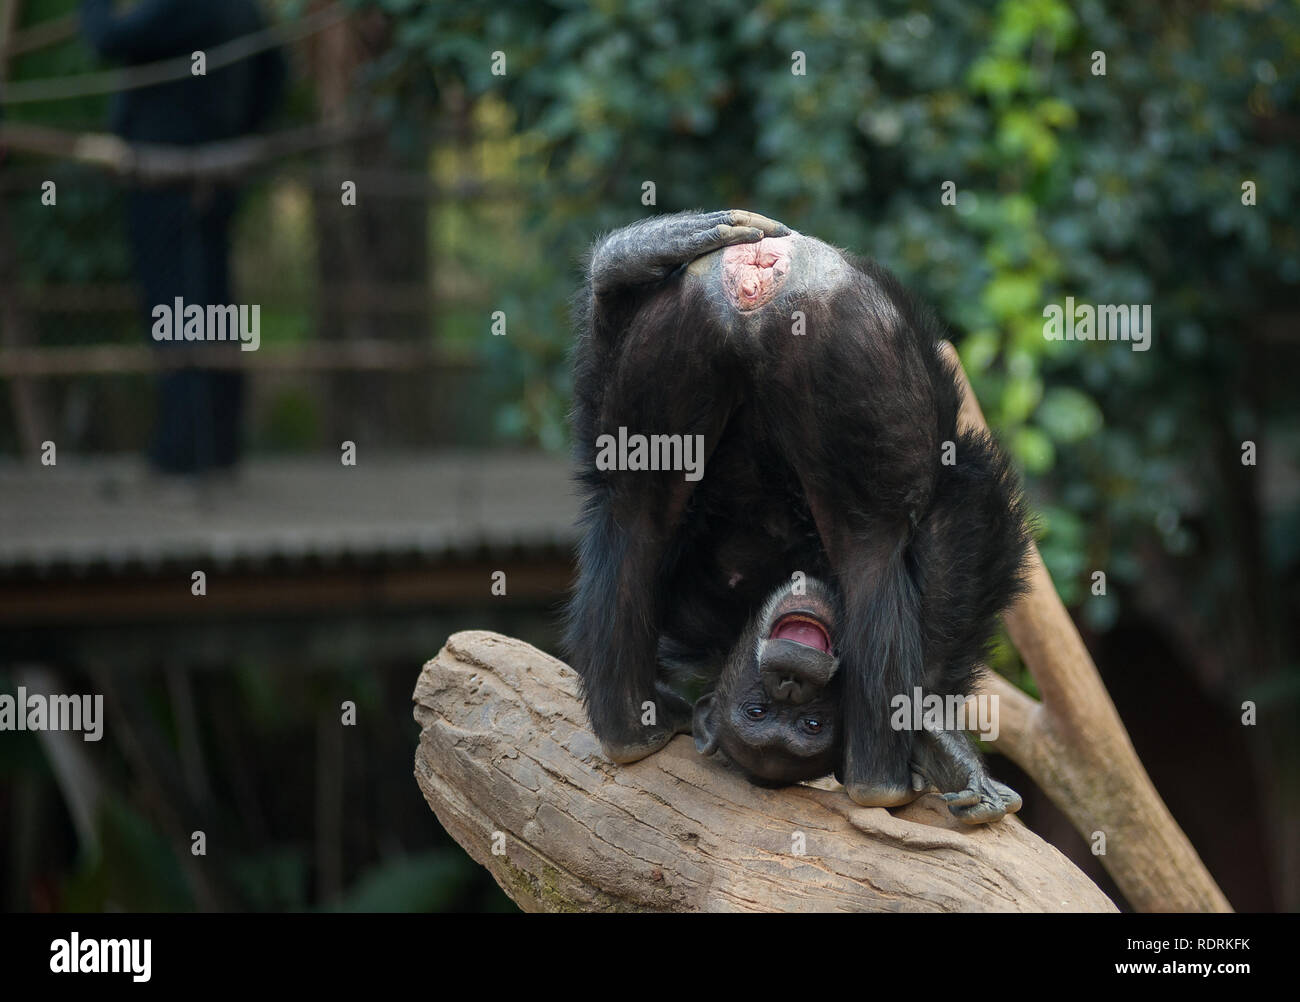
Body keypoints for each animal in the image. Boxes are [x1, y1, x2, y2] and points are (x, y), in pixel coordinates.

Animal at [564, 209, 1029, 823]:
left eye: (807, 721)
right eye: (761, 713)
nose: (789, 681)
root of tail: (753, 299)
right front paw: (940, 746)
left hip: (674, 339)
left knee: (635, 513)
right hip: (850, 349)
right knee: (873, 543)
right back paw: (879, 782)